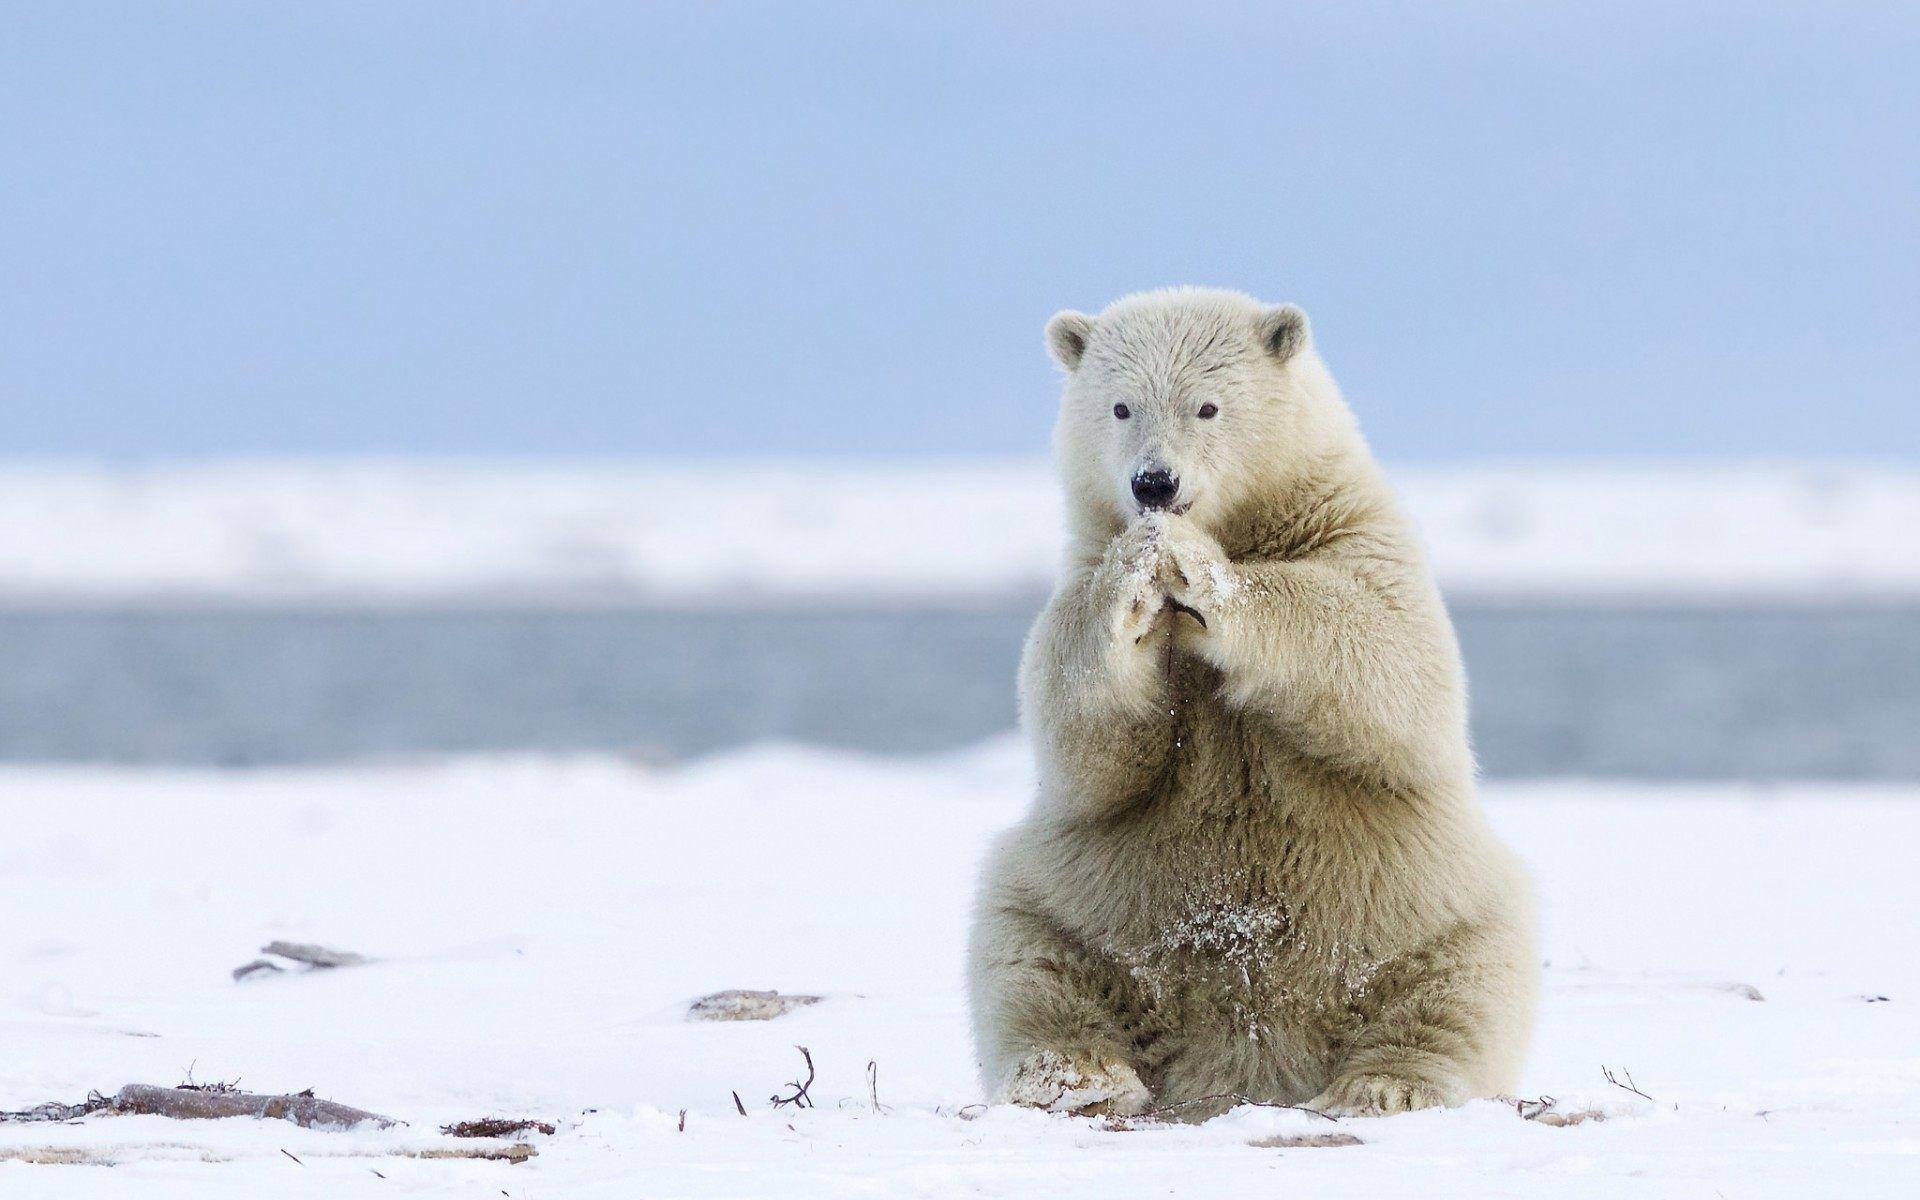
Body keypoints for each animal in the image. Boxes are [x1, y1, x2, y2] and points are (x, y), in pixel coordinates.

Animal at [966, 287, 1537, 1119]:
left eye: (1207, 406)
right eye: (1120, 405)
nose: (1154, 484)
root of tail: (1243, 1065)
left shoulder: (1357, 536)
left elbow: (1387, 654)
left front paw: (1199, 570)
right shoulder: (1078, 565)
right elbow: (1079, 729)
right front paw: (1137, 573)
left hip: (1424, 900)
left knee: (1460, 983)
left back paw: (1384, 1082)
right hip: (1085, 897)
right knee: (1031, 956)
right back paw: (1076, 1076)